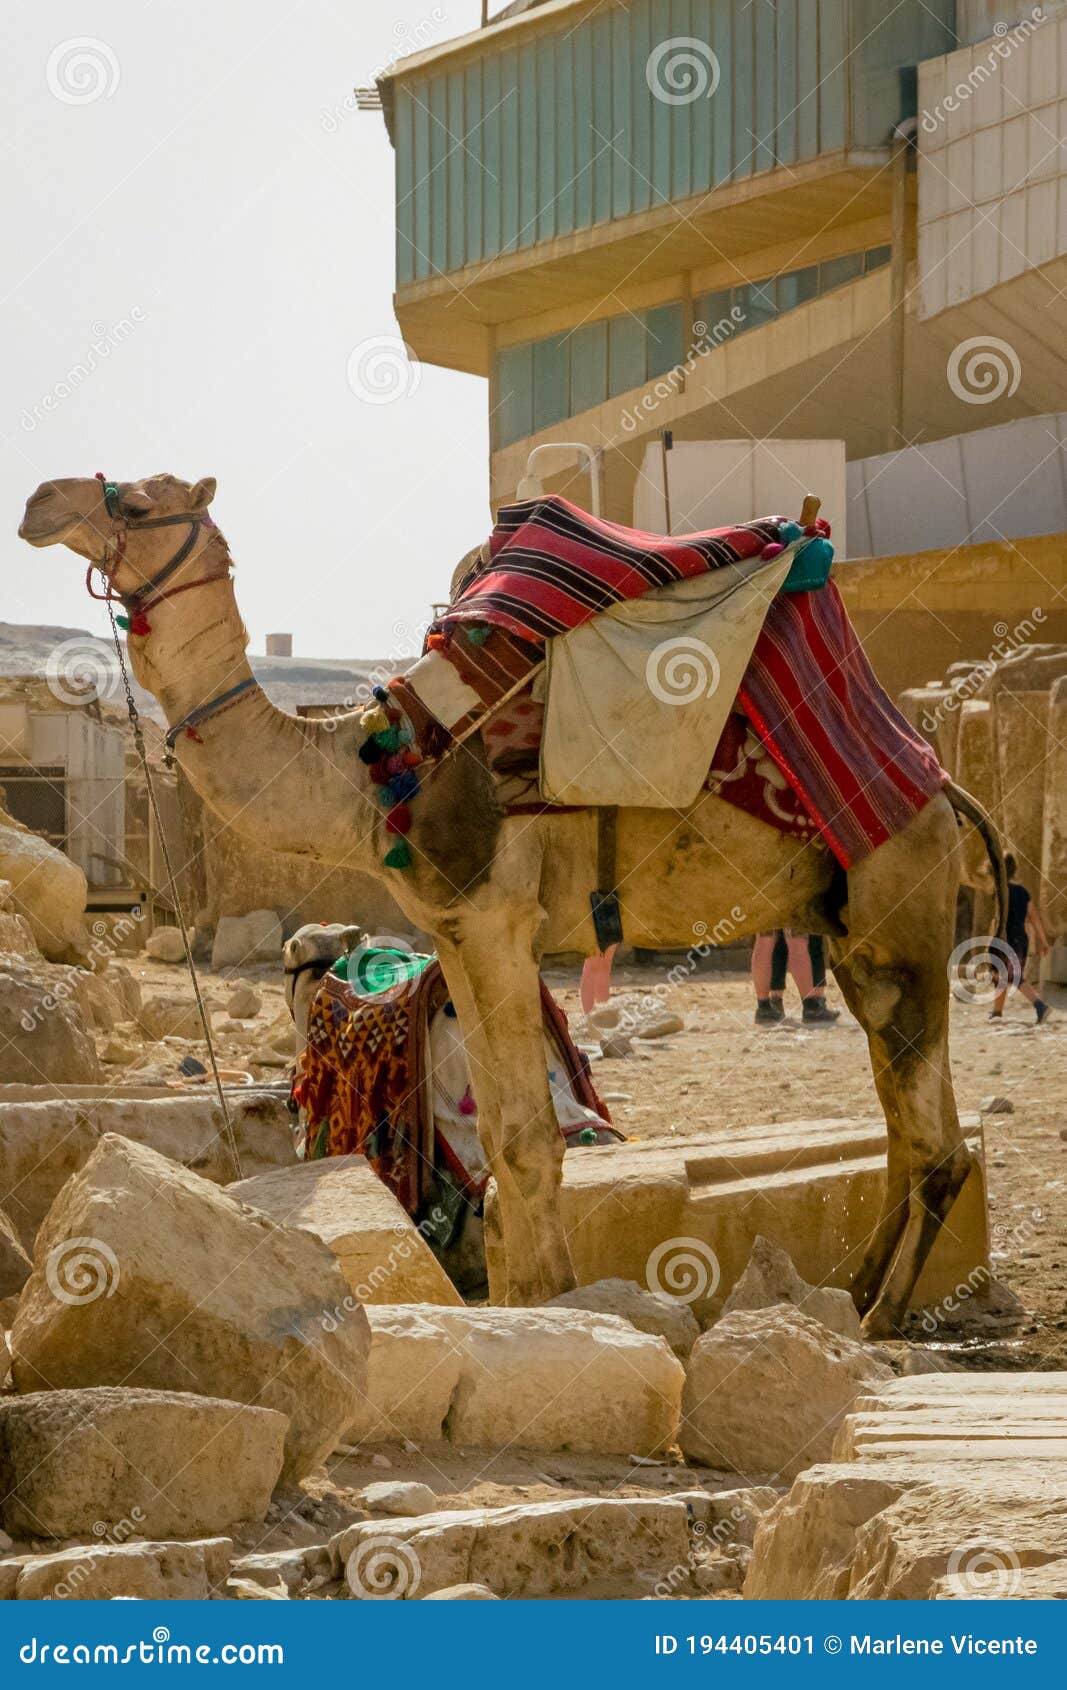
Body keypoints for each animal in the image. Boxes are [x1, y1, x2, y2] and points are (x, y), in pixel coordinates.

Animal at [19, 471, 1005, 1336]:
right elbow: (498, 1134)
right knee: (900, 1118)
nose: (39, 500)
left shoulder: (494, 917)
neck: (362, 771)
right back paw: (854, 1287)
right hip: (852, 932)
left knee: (932, 1138)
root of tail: (943, 788)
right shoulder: (453, 931)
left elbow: (530, 1141)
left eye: (137, 501)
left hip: (901, 903)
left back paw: (881, 1318)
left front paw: (556, 1302)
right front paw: (527, 1299)